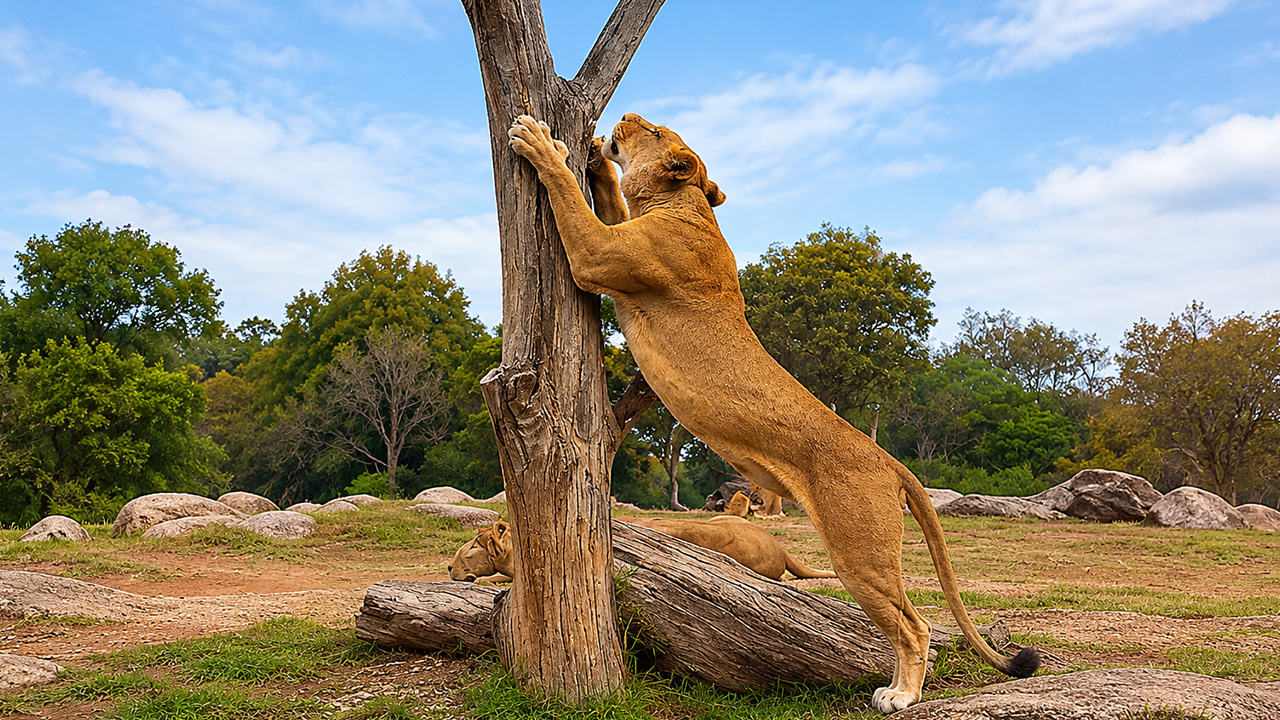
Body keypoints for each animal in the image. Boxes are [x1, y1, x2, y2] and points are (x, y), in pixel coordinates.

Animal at [508, 113, 1040, 712]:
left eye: (654, 130)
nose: (623, 118)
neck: (684, 202)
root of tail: (891, 462)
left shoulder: (600, 256)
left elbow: (570, 198)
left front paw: (541, 143)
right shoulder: (620, 237)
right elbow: (610, 199)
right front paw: (597, 161)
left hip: (858, 553)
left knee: (913, 623)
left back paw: (900, 695)